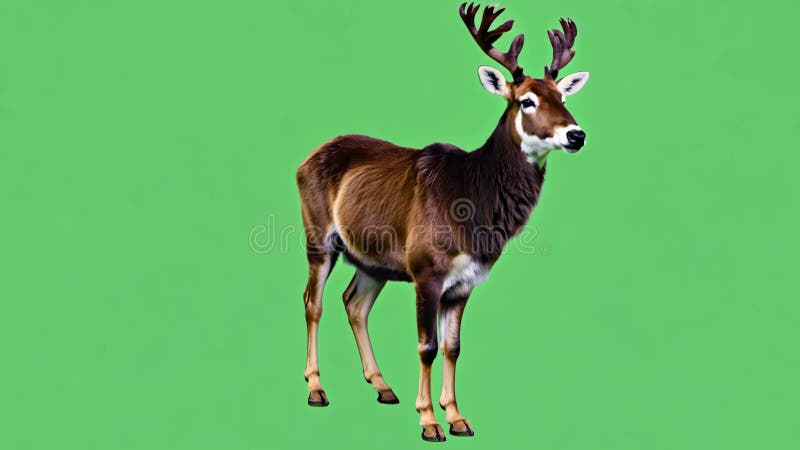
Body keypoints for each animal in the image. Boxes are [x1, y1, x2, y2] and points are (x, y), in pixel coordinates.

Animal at [295, 3, 590, 442]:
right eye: (526, 101)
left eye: (563, 96)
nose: (576, 134)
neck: (472, 203)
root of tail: (305, 160)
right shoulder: (426, 269)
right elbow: (427, 346)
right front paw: (429, 422)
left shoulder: (465, 281)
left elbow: (454, 347)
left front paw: (458, 419)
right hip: (318, 235)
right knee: (313, 302)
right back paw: (316, 389)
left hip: (374, 260)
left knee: (354, 303)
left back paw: (383, 387)